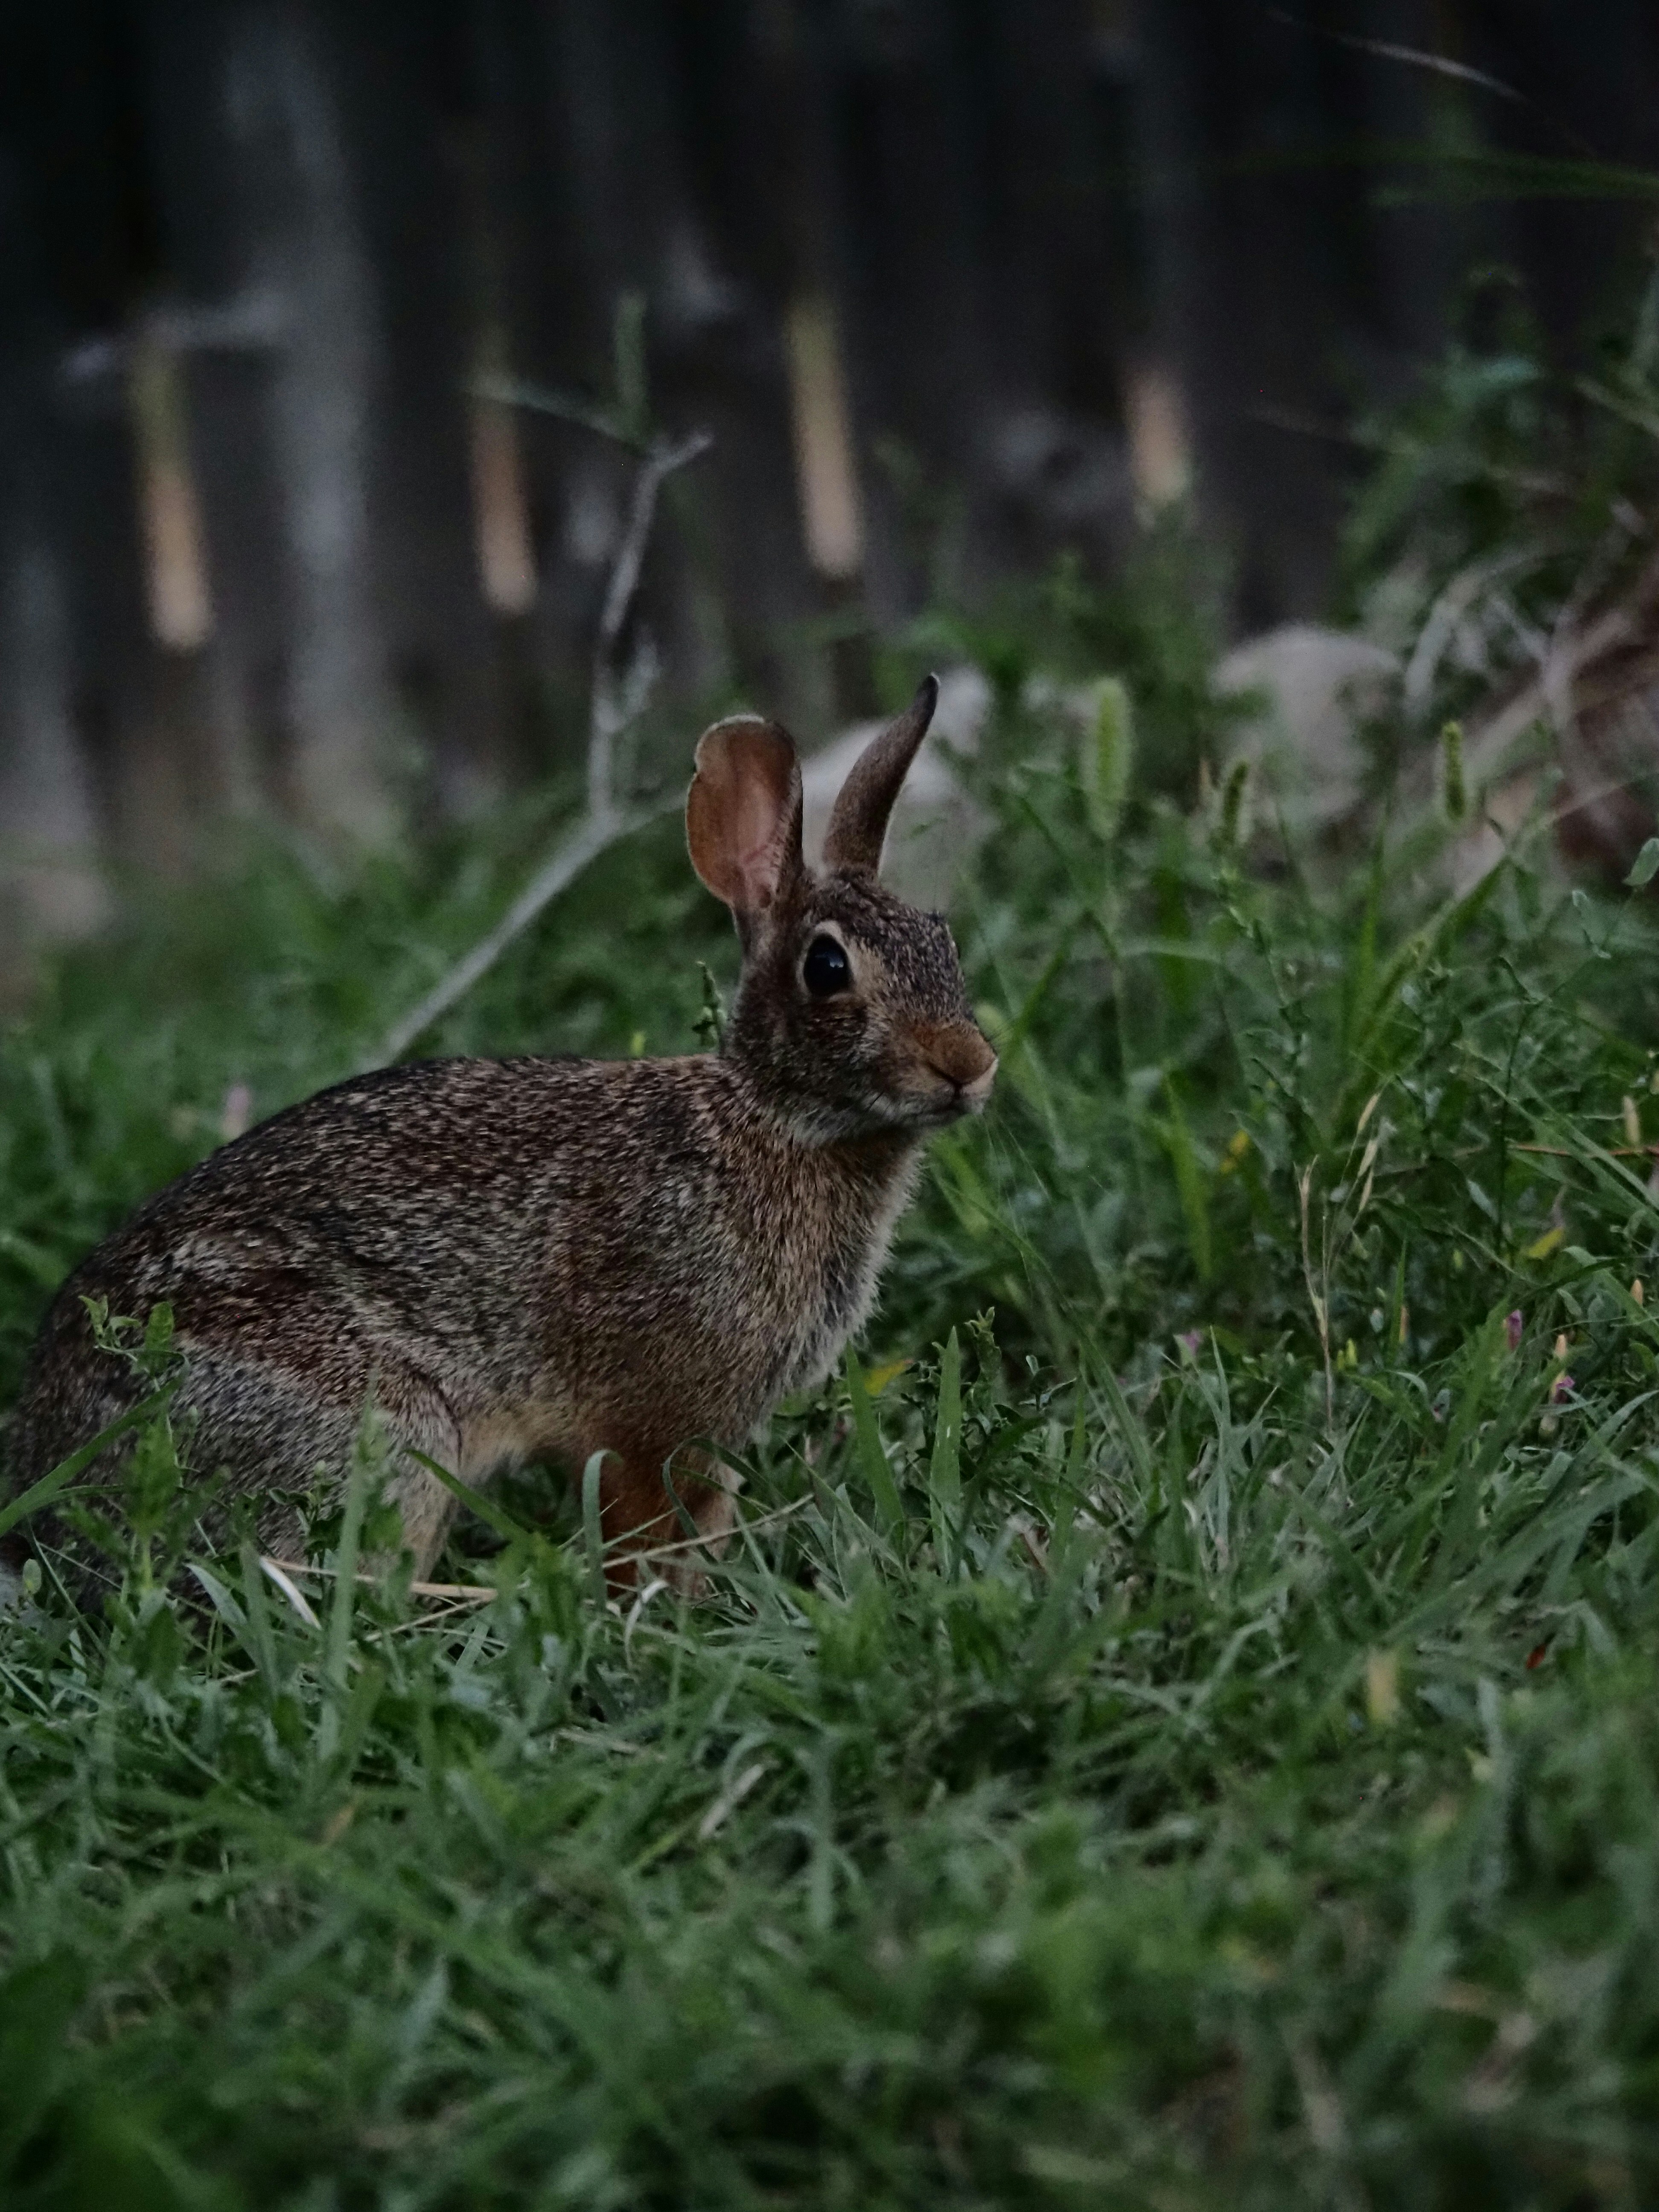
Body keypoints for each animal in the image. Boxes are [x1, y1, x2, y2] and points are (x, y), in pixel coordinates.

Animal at [4, 677, 996, 1595]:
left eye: (942, 939)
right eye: (827, 968)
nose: (970, 1066)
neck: (769, 1118)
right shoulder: (652, 1420)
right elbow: (648, 1525)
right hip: (375, 1426)